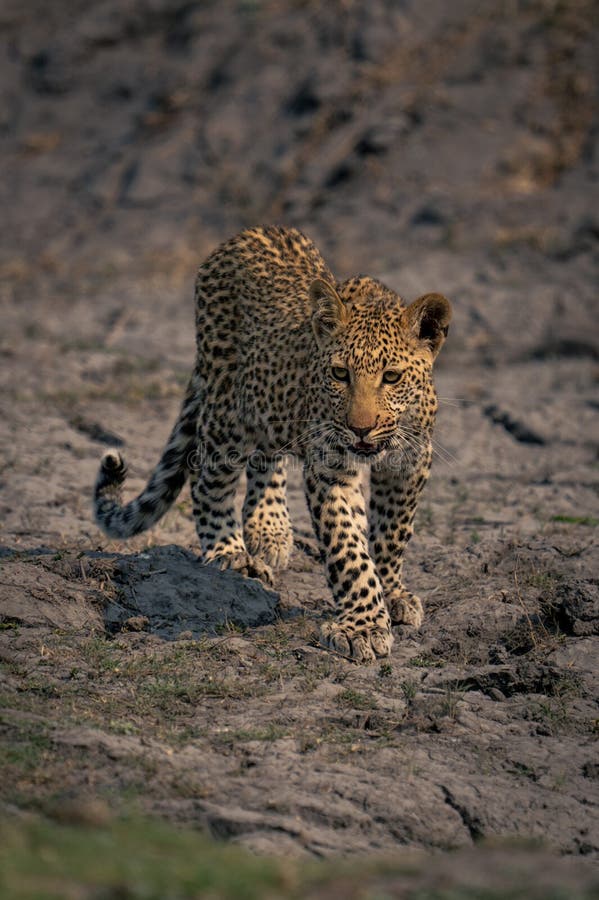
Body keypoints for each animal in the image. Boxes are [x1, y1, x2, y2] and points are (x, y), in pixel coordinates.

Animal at [94, 226, 451, 662]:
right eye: (339, 374)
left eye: (392, 377)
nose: (360, 429)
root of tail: (247, 233)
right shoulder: (329, 465)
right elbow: (348, 547)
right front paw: (362, 626)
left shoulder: (411, 461)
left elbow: (392, 533)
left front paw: (393, 593)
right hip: (227, 409)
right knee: (209, 478)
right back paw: (229, 552)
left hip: (266, 408)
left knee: (265, 458)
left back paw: (269, 528)